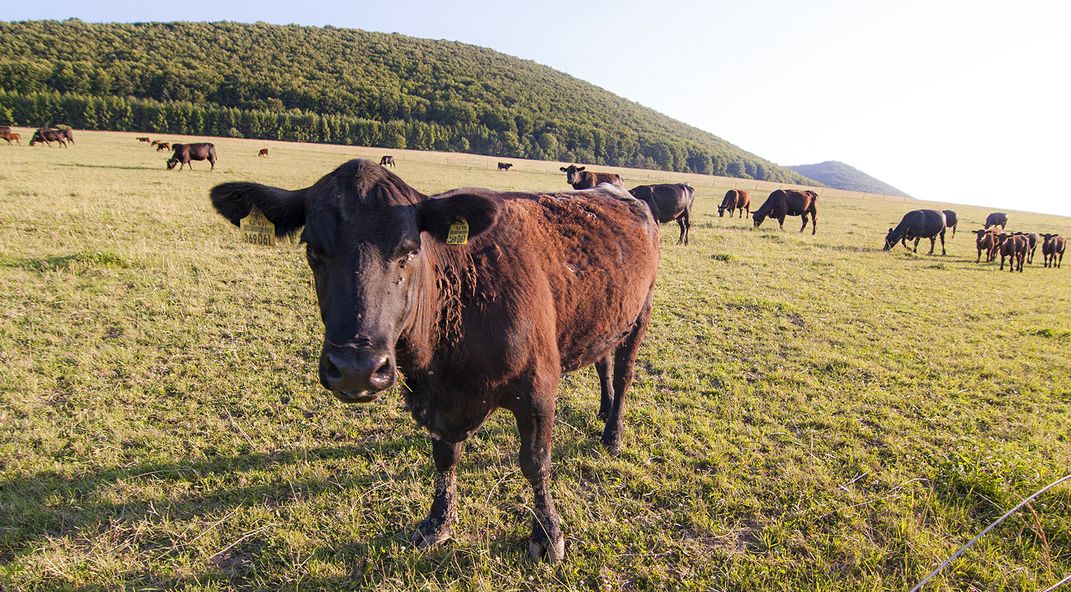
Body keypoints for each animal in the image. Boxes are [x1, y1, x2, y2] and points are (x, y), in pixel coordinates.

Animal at [208, 159, 659, 563]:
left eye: (409, 250)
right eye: (313, 250)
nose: (356, 368)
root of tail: (617, 188)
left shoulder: (537, 388)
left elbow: (536, 463)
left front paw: (547, 535)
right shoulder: (434, 399)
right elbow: (445, 457)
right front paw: (438, 522)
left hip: (640, 314)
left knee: (623, 374)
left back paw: (613, 432)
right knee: (603, 362)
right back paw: (602, 411)